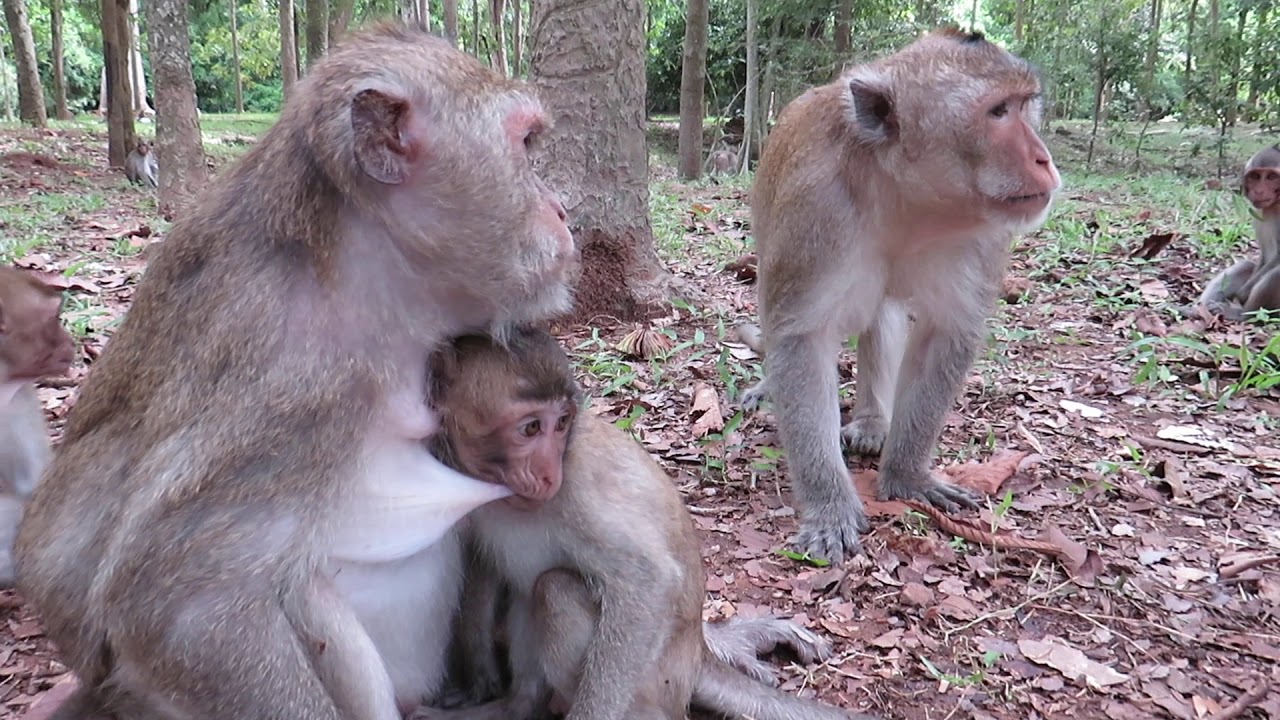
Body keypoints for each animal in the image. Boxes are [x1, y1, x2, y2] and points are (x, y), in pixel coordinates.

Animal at [417, 327, 877, 720]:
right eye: (531, 428)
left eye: (560, 424)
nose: (548, 472)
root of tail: (694, 655)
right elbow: (481, 566)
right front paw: (479, 680)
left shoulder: (575, 492)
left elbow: (648, 580)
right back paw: (515, 706)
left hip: (658, 680)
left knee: (554, 589)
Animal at [737, 28, 1061, 561]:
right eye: (997, 112)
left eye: (1023, 105)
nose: (1043, 158)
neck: (907, 196)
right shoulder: (815, 212)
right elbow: (801, 339)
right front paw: (830, 505)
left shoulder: (985, 234)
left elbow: (945, 332)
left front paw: (908, 476)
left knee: (880, 315)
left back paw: (872, 421)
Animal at [1197, 145, 1280, 319]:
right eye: (1255, 176)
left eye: (1271, 177)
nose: (1259, 191)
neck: (1274, 206)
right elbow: (1263, 257)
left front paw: (1242, 295)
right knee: (1246, 265)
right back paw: (1200, 308)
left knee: (1277, 273)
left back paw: (1242, 314)